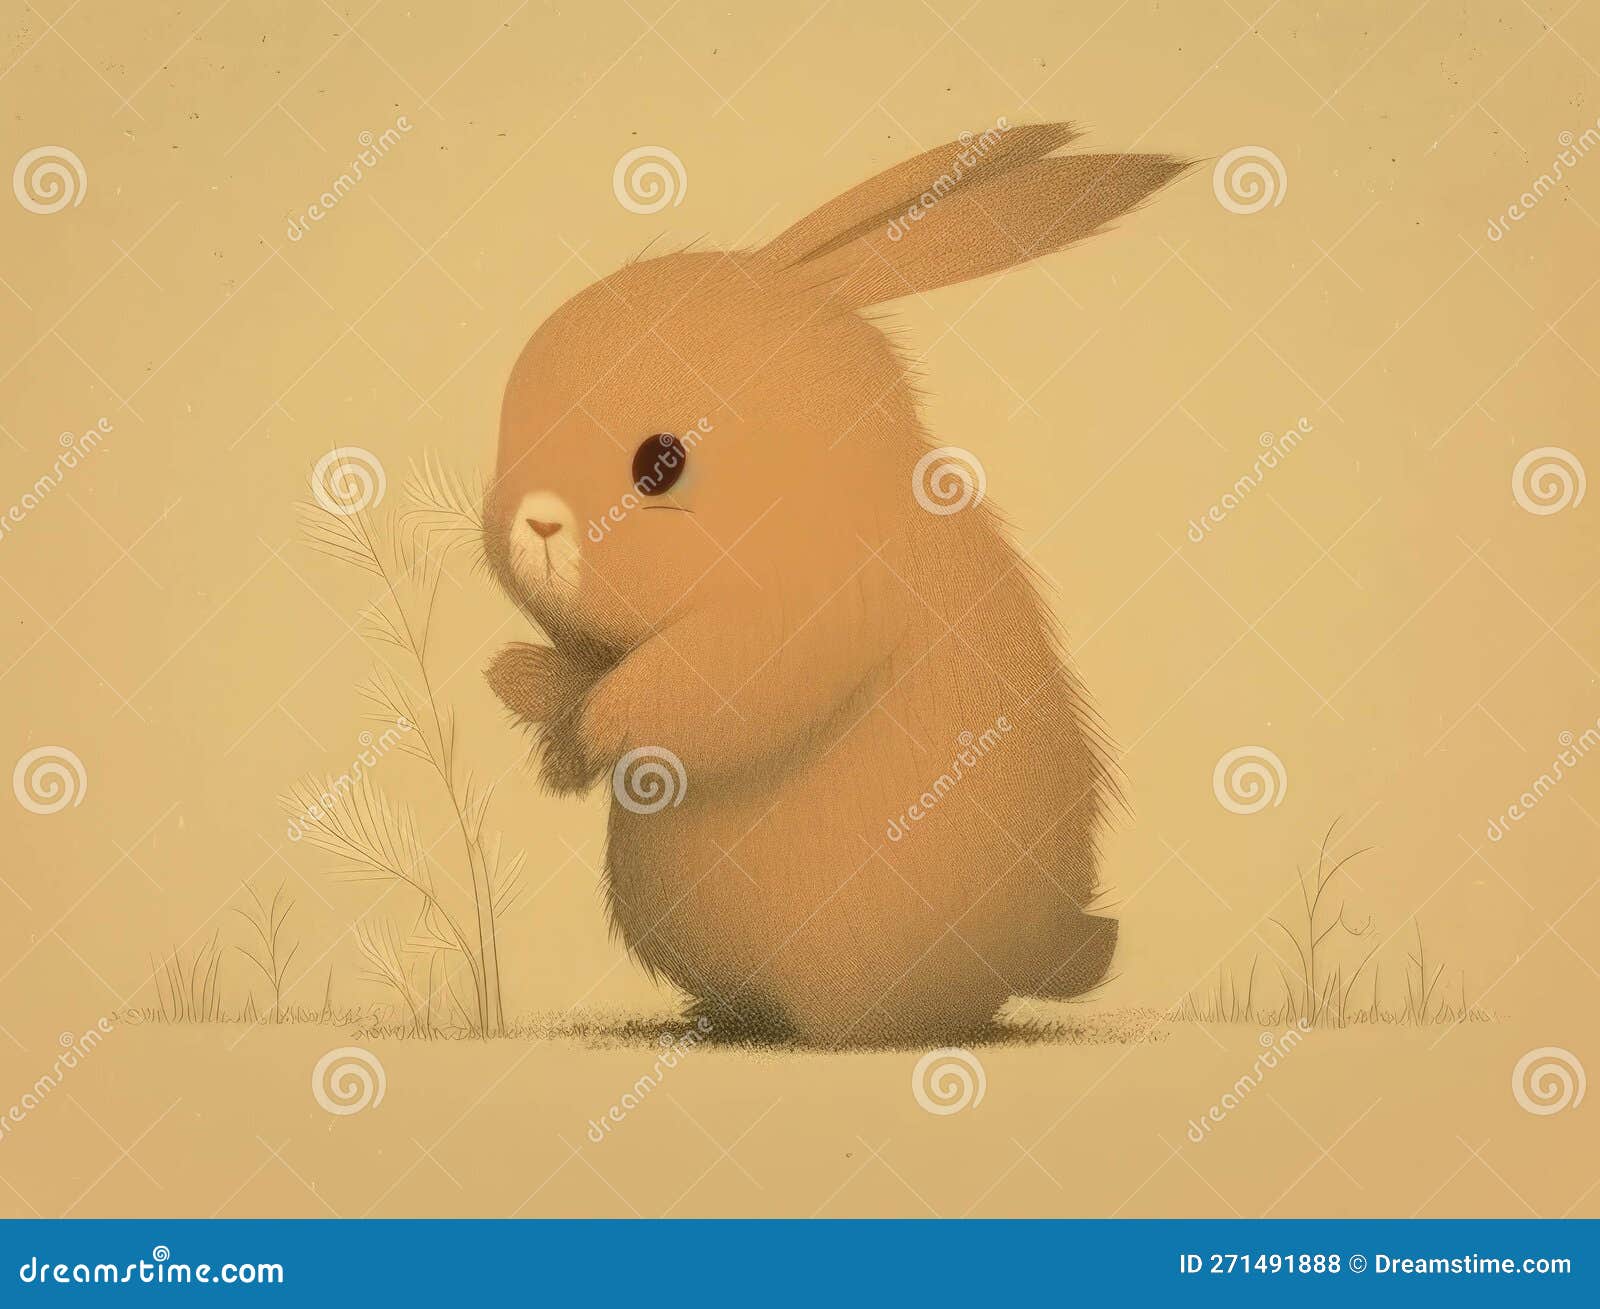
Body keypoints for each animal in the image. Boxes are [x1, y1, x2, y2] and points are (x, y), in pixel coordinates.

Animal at [482, 122, 1190, 1047]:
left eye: (660, 463)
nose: (532, 524)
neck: (798, 481)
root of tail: (1043, 952)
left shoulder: (806, 617)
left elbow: (699, 693)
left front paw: (595, 727)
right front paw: (526, 696)